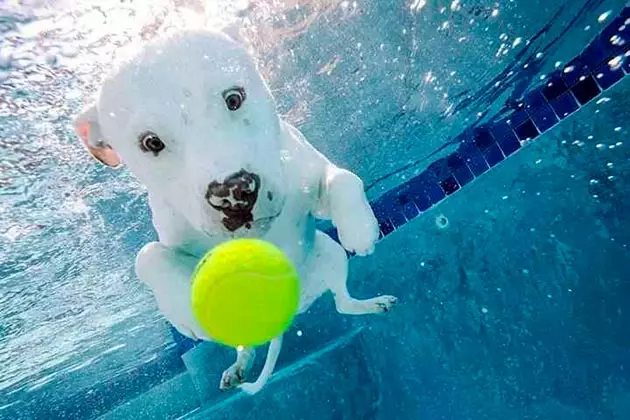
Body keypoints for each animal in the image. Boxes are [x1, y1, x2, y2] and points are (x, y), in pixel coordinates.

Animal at [74, 28, 398, 394]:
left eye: (234, 99)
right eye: (151, 143)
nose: (231, 193)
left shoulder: (312, 173)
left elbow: (345, 178)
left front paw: (360, 229)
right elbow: (148, 256)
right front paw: (183, 305)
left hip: (331, 255)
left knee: (342, 302)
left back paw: (371, 303)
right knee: (244, 344)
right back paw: (238, 366)